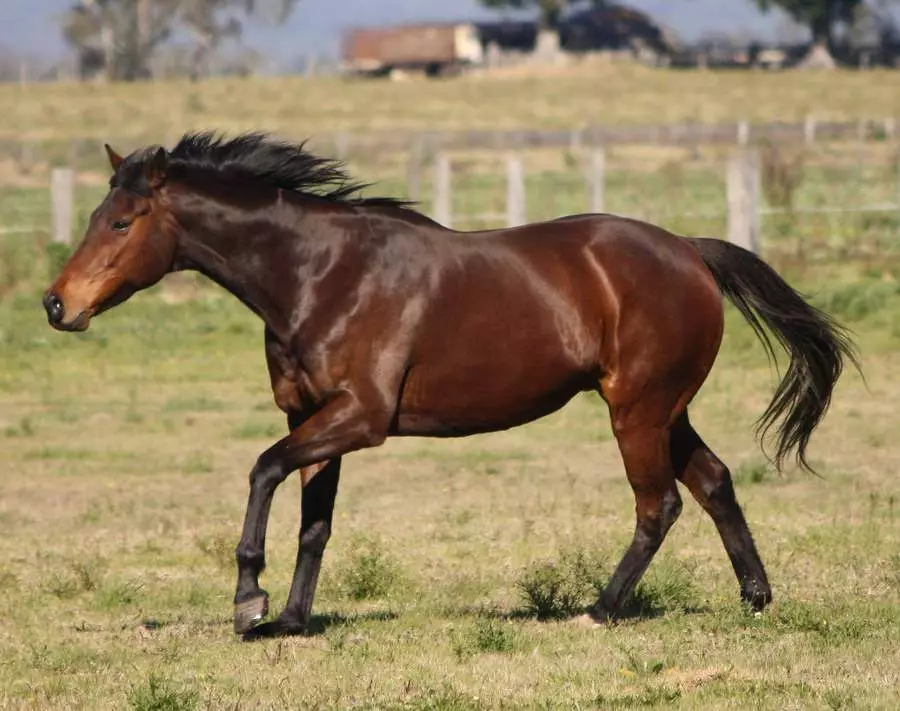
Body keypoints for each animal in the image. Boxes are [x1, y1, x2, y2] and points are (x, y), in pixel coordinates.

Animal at [44, 132, 856, 640]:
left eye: (121, 222)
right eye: (95, 216)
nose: (57, 305)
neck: (319, 274)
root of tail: (688, 249)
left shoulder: (360, 417)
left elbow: (262, 469)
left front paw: (249, 602)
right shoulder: (316, 416)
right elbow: (314, 521)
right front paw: (293, 620)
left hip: (637, 411)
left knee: (657, 505)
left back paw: (598, 609)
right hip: (663, 409)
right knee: (714, 481)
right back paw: (756, 599)